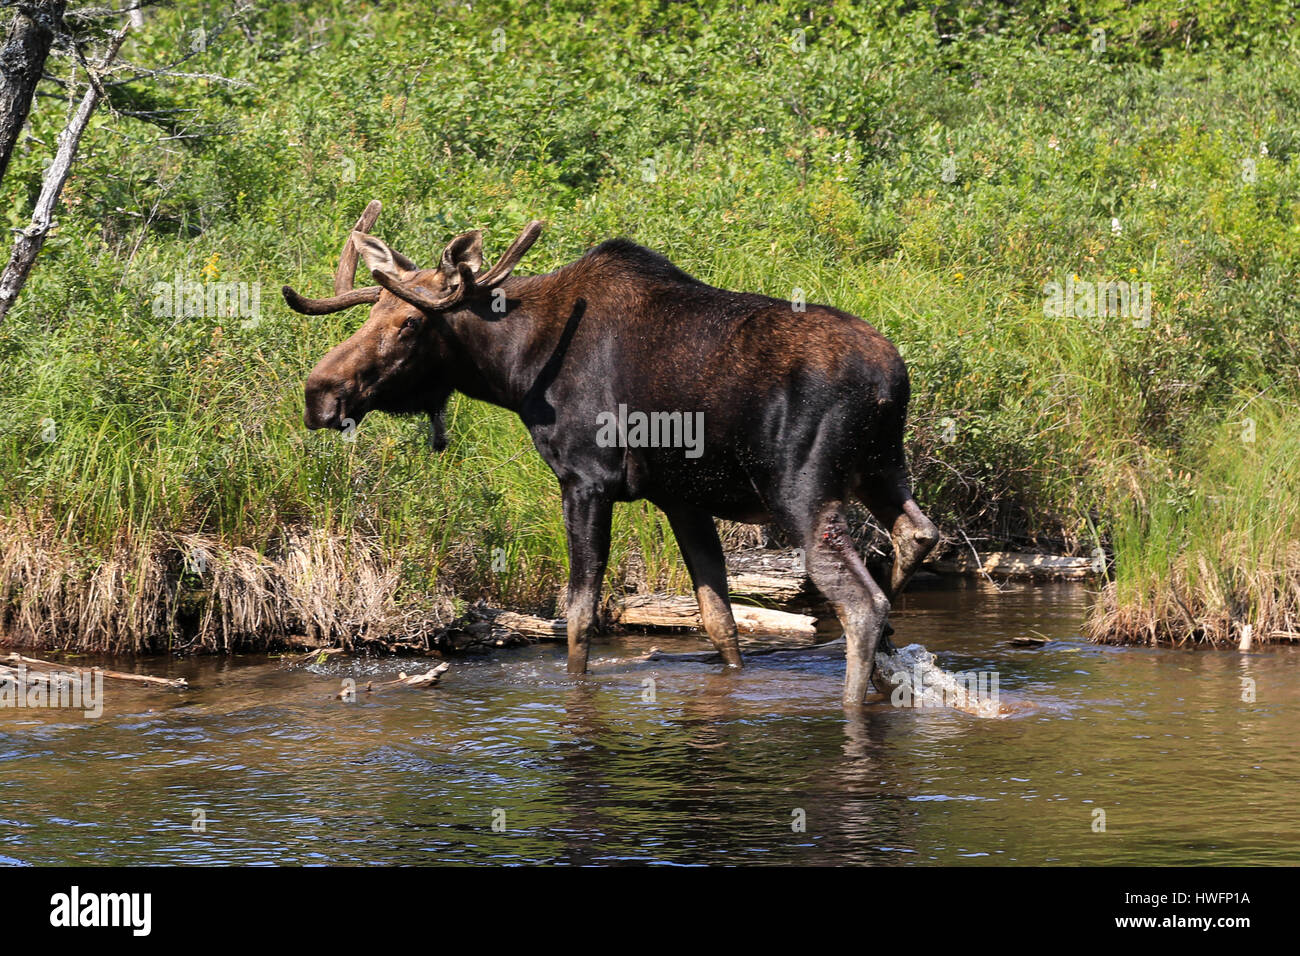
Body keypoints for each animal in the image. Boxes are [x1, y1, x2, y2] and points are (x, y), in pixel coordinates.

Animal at [282, 200, 939, 707]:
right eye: (373, 312)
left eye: (411, 325)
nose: (320, 394)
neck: (514, 370)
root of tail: (891, 381)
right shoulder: (681, 498)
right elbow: (717, 617)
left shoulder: (586, 479)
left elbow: (578, 615)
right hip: (885, 471)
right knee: (918, 536)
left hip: (804, 493)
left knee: (861, 603)